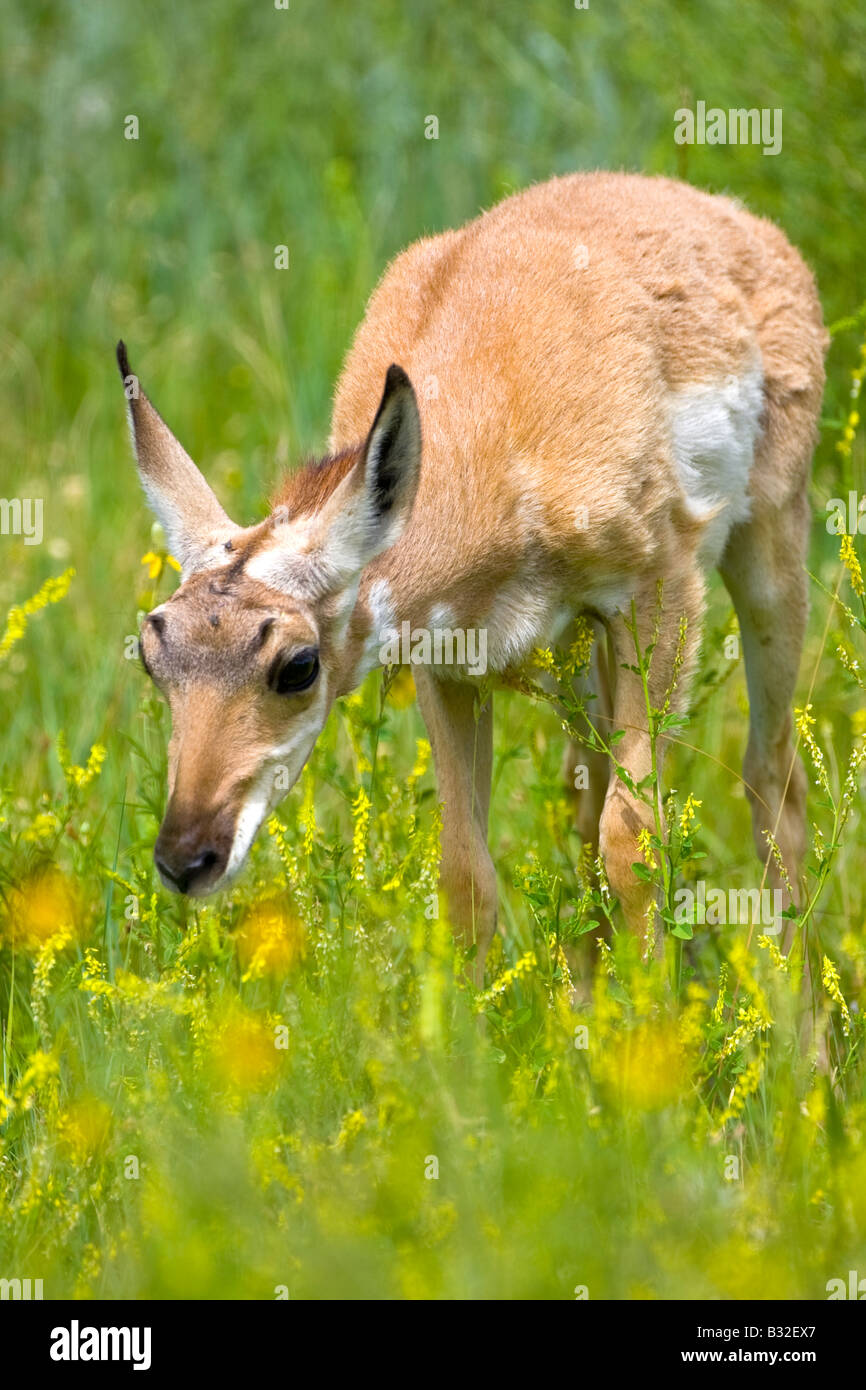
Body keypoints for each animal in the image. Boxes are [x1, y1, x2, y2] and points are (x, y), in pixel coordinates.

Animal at [118, 171, 826, 975]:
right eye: (152, 654)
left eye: (297, 666)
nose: (184, 860)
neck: (490, 441)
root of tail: (728, 215)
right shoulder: (447, 659)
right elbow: (466, 873)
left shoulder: (663, 590)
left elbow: (634, 836)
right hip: (580, 655)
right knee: (588, 788)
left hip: (769, 551)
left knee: (771, 774)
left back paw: (797, 1009)